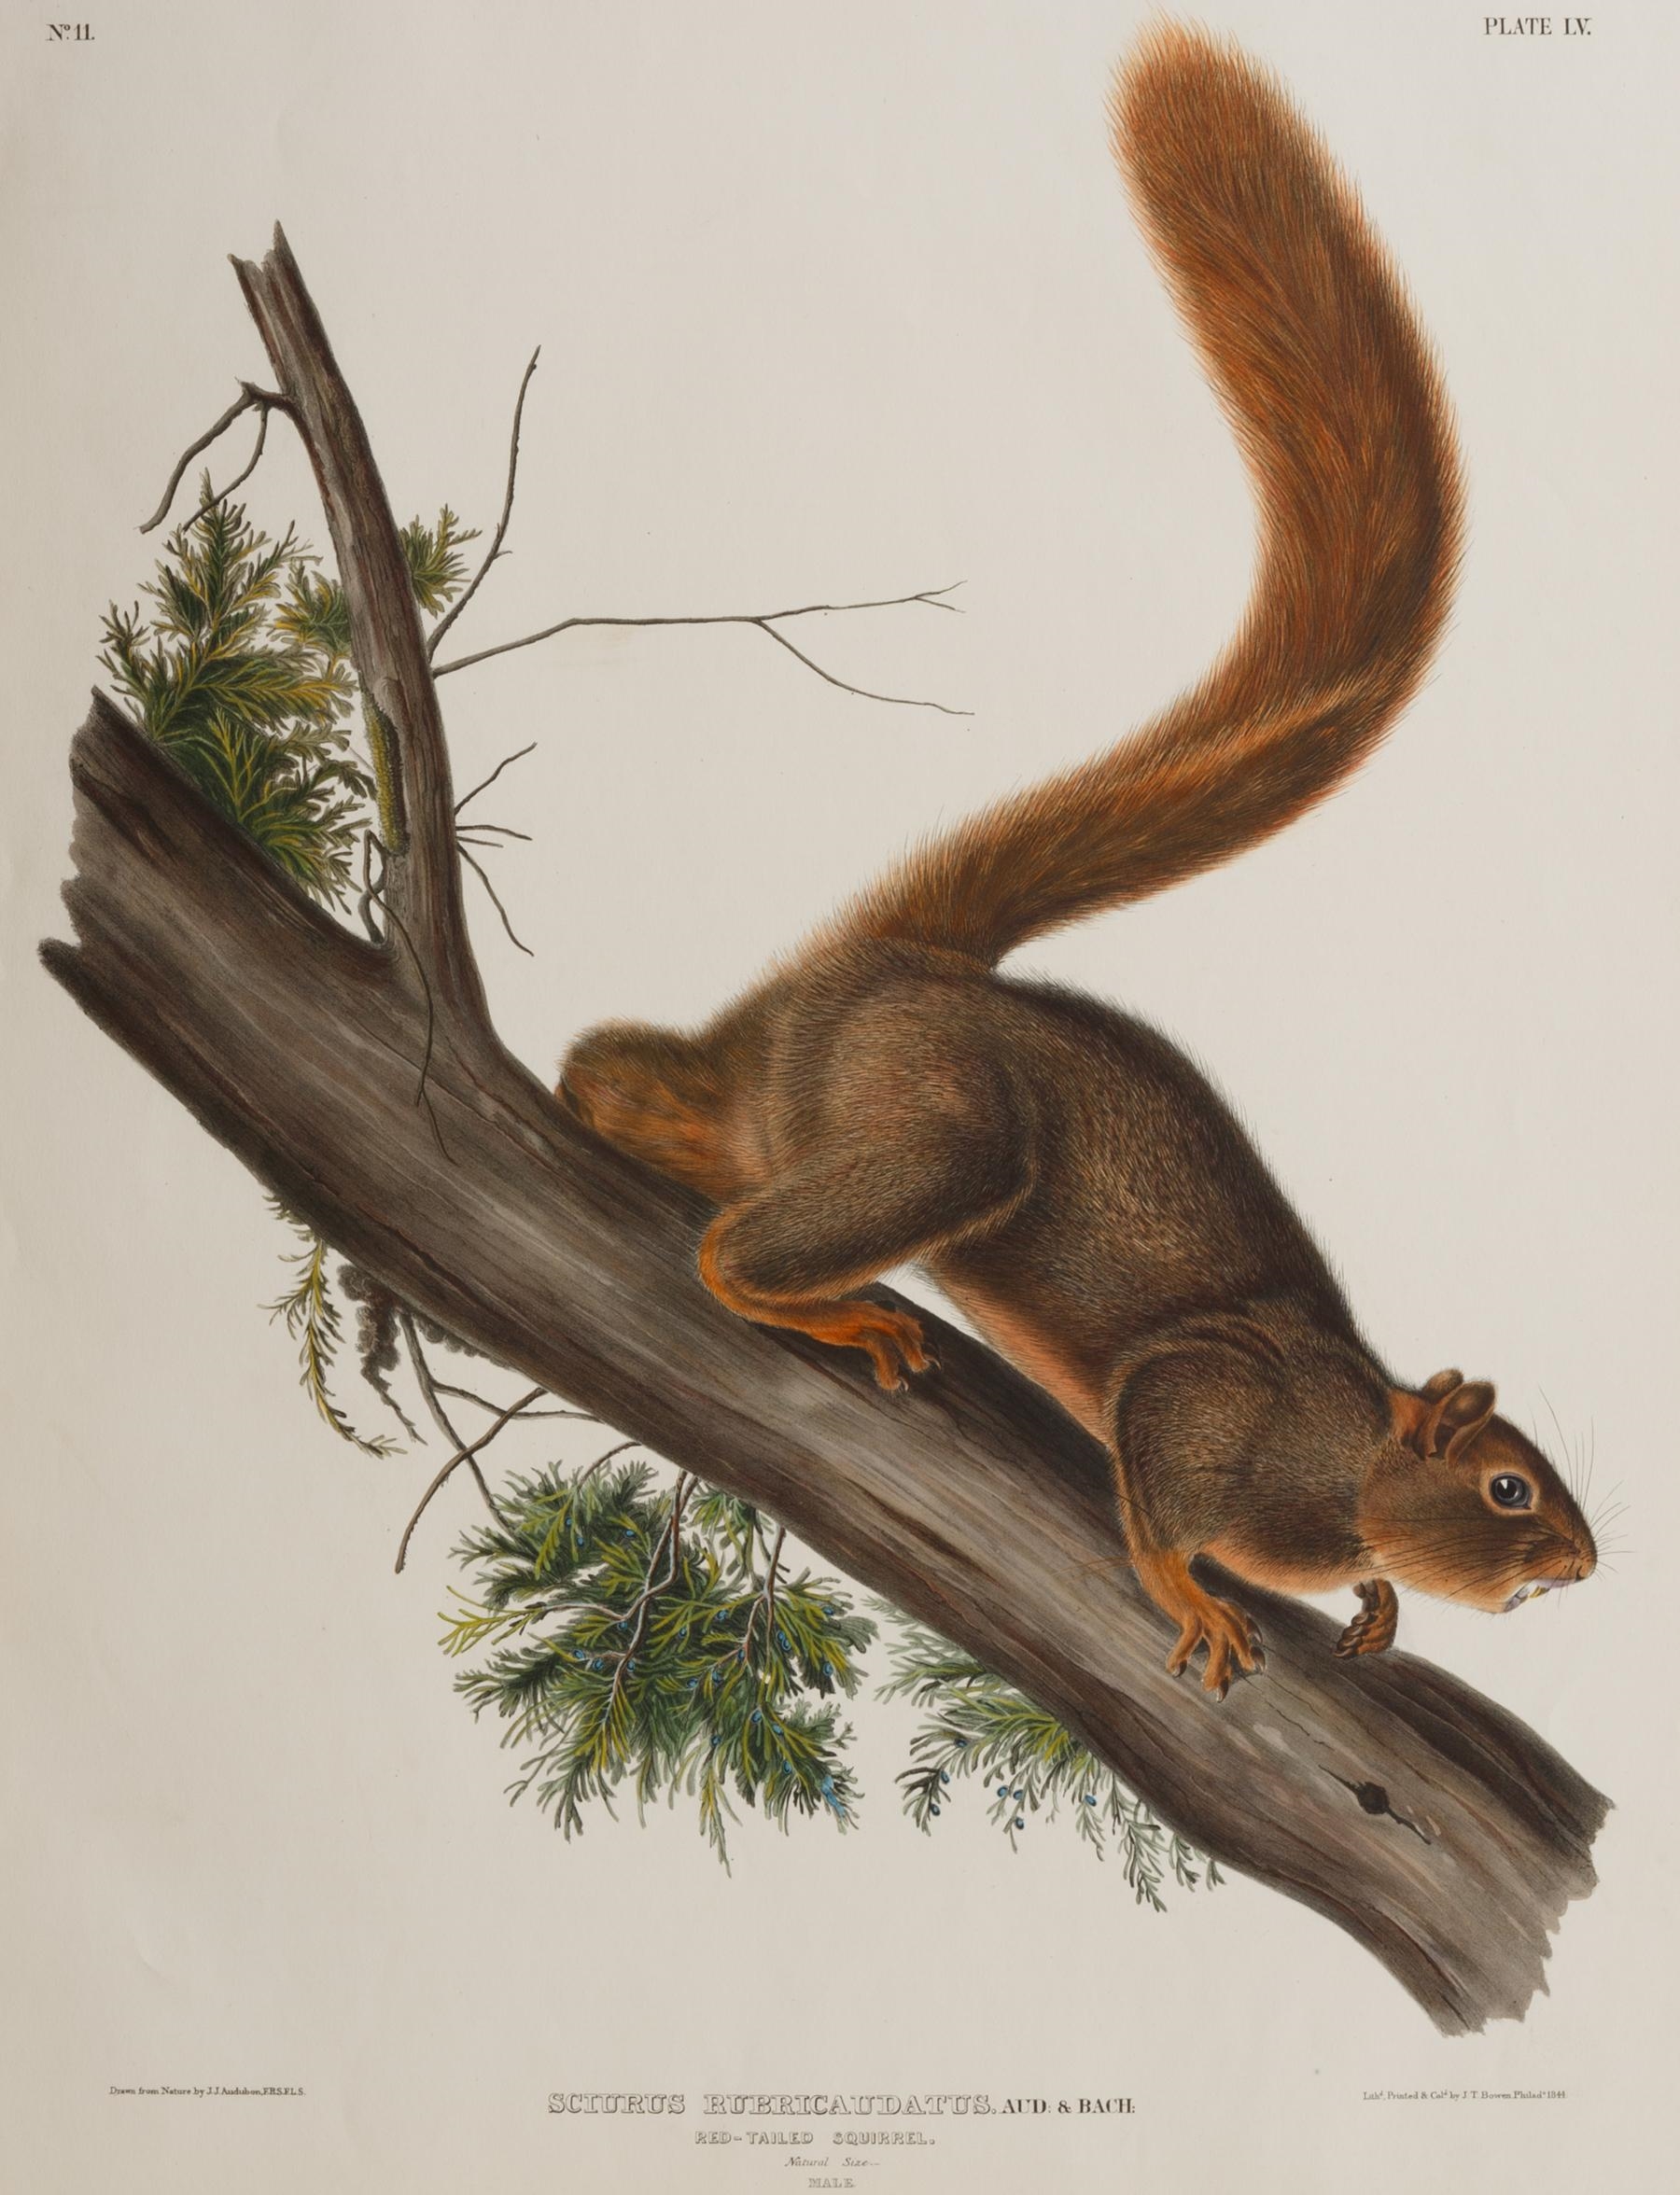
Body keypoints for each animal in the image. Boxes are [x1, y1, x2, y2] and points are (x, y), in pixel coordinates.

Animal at [558, 24, 1597, 1696]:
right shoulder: (1204, 1405)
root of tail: (886, 968)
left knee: (632, 1083)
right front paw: (1194, 1592)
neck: (1350, 1444)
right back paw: (826, 1311)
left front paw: (1374, 1602)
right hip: (942, 1136)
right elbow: (1160, 1482)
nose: (1587, 1561)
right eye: (1509, 1487)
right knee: (728, 1243)